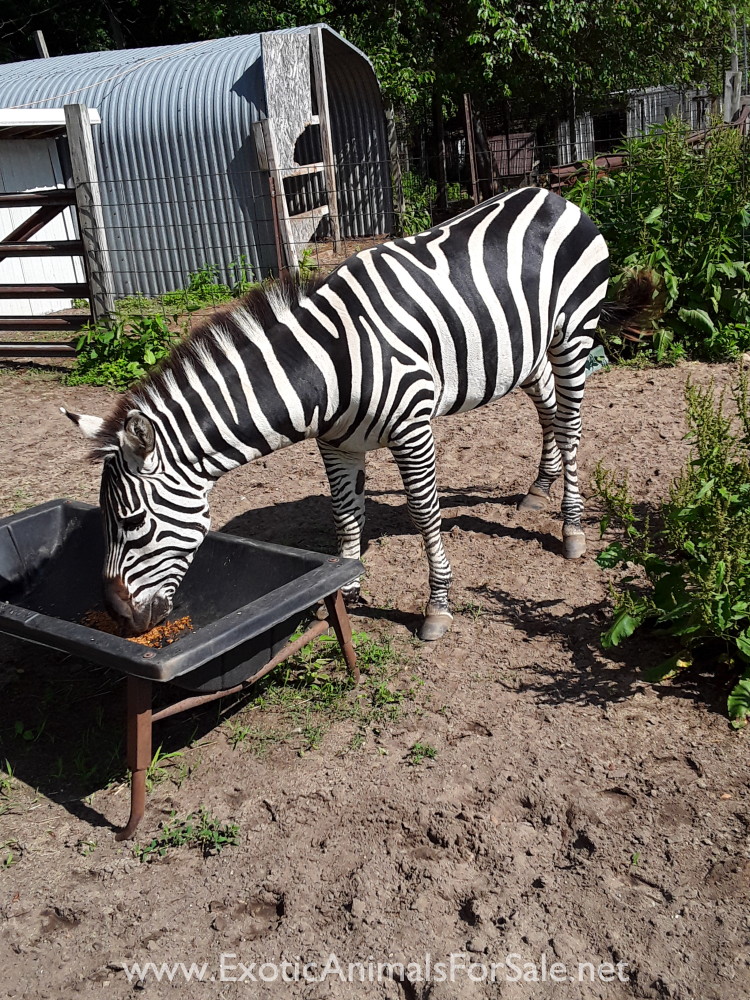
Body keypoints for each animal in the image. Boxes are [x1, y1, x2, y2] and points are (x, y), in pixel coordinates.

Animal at [63, 187, 654, 641]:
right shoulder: (336, 444)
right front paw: (344, 587)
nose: (118, 618)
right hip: (522, 352)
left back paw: (571, 528)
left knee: (572, 426)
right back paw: (538, 489)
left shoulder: (413, 427)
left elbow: (424, 514)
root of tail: (555, 196)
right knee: (550, 412)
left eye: (132, 523)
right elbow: (345, 515)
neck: (328, 367)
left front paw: (437, 608)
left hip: (573, 334)